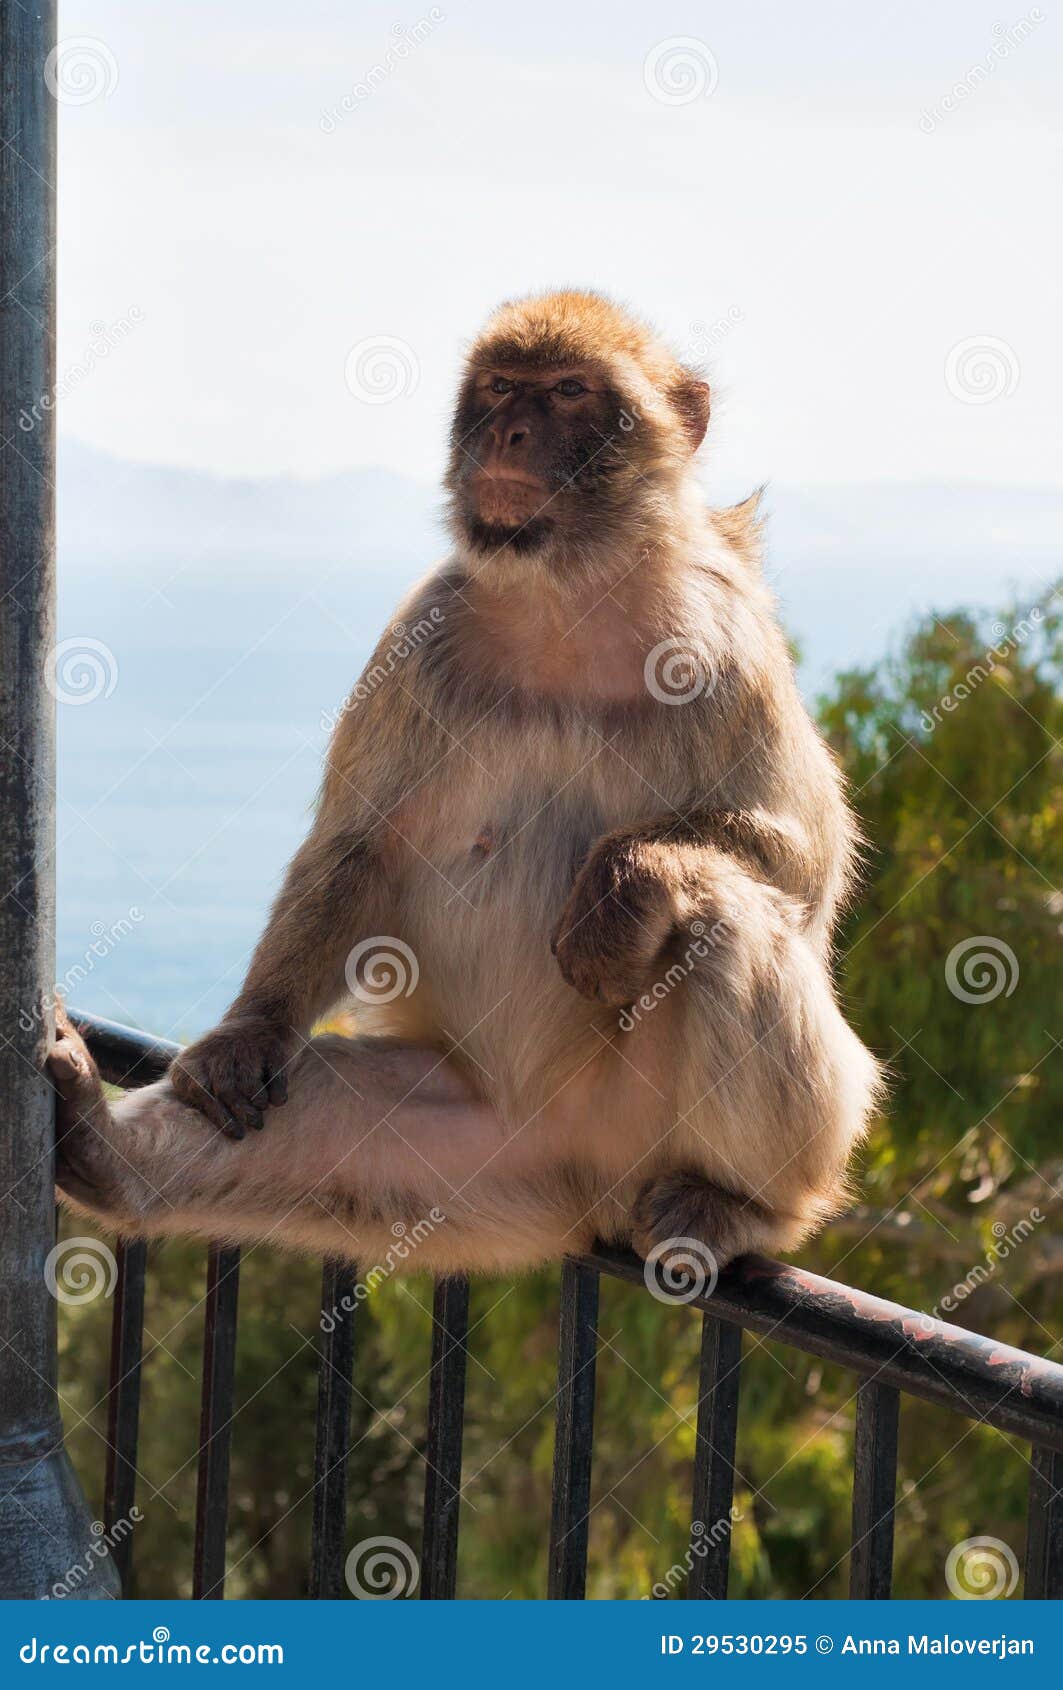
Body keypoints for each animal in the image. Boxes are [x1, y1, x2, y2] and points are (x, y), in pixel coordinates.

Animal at [50, 289, 883, 1282]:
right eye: (495, 387)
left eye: (567, 392)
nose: (508, 432)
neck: (567, 603)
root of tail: (584, 1189)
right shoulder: (420, 635)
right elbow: (356, 845)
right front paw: (245, 1033)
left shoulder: (729, 648)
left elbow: (803, 871)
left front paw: (621, 886)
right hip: (475, 1161)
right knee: (324, 1106)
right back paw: (102, 1155)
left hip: (688, 1133)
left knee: (725, 912)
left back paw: (737, 1206)